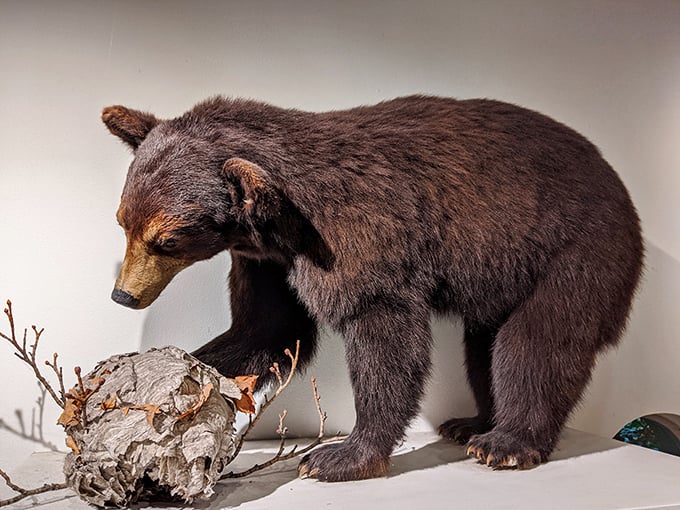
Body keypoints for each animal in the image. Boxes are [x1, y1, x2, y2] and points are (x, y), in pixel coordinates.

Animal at [102, 95, 643, 482]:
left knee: (536, 342)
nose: (123, 296)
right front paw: (156, 376)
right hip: (503, 276)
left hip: (573, 252)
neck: (284, 225)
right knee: (483, 346)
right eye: (124, 222)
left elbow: (383, 335)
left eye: (167, 239)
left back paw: (506, 442)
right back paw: (472, 423)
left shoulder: (354, 239)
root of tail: (617, 181)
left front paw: (339, 456)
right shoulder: (266, 262)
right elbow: (266, 328)